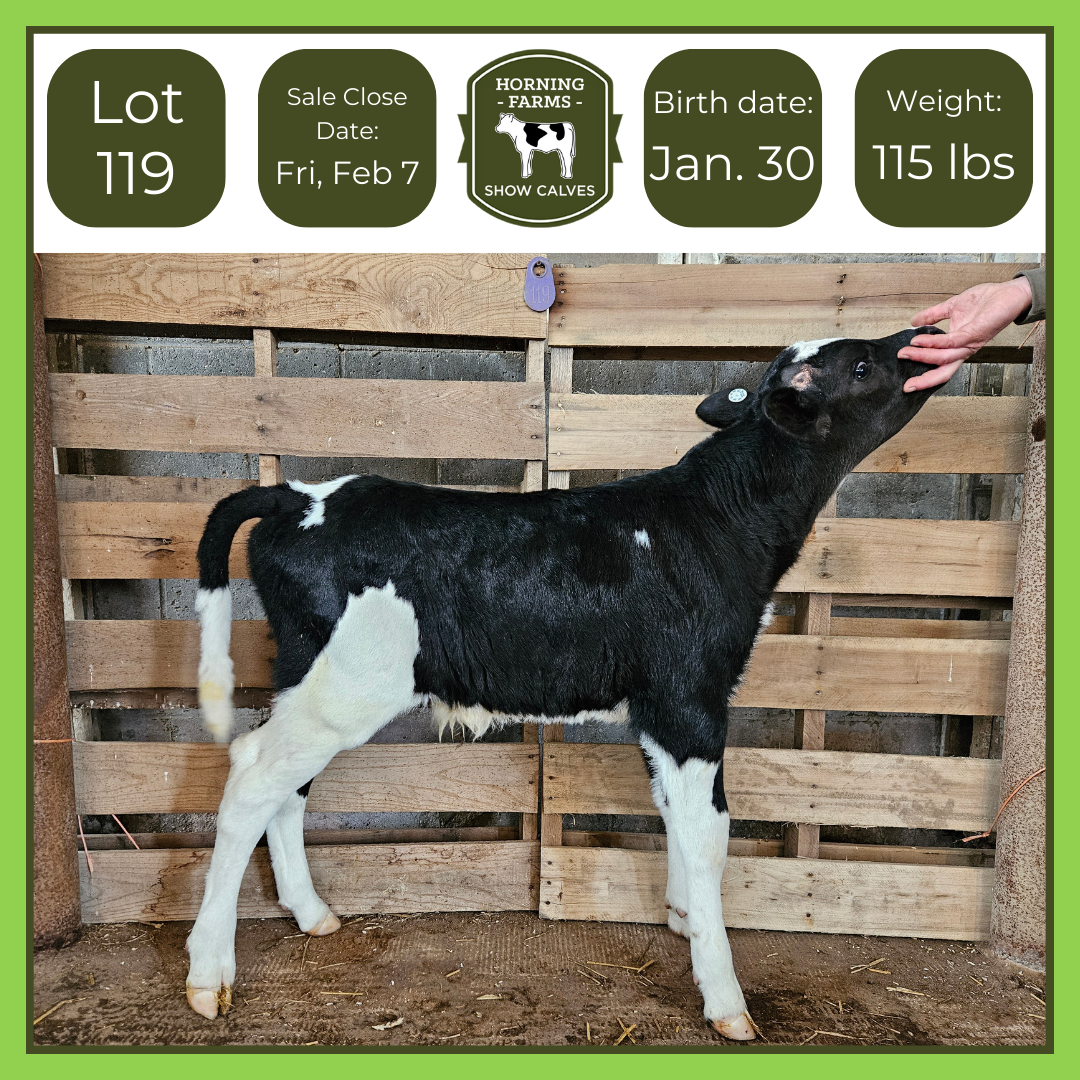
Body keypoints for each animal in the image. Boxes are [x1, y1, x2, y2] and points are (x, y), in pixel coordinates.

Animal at [184, 328, 944, 1036]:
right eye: (863, 364)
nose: (924, 337)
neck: (719, 520)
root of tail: (298, 496)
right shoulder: (690, 697)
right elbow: (710, 831)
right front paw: (726, 998)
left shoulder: (657, 708)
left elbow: (670, 808)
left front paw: (683, 915)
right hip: (348, 685)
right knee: (253, 776)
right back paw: (208, 973)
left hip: (306, 675)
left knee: (286, 786)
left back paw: (311, 914)